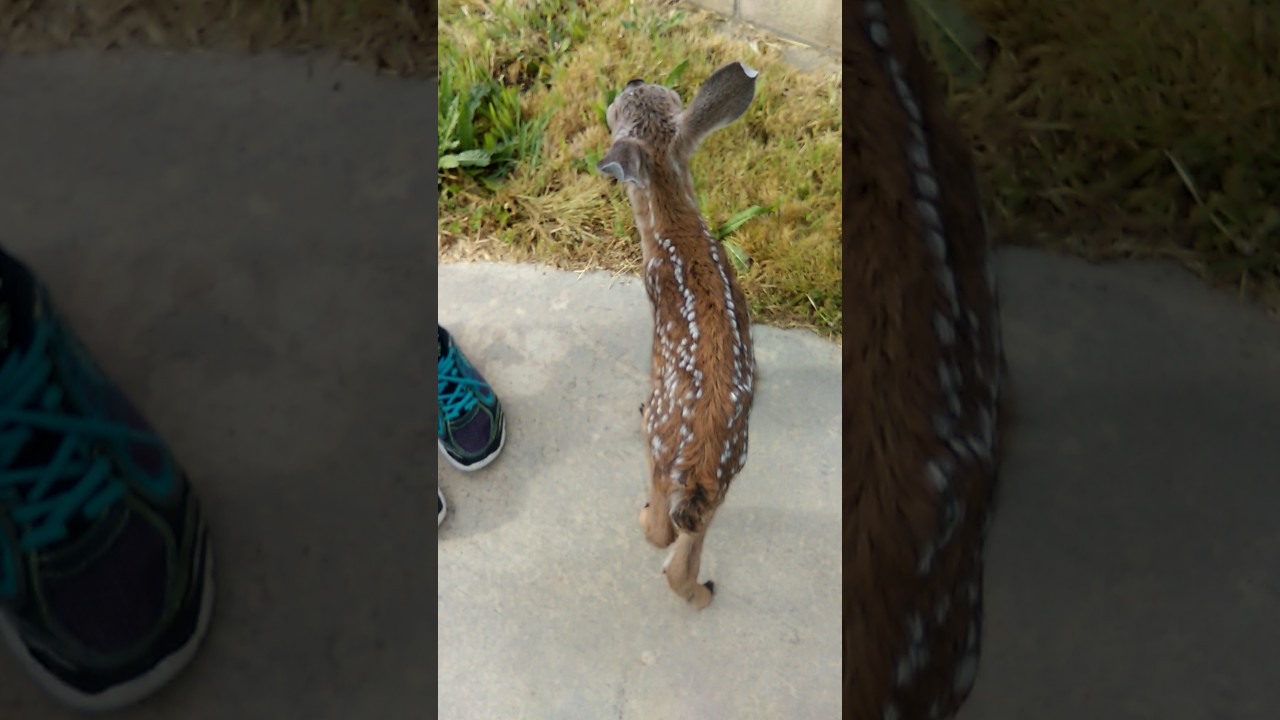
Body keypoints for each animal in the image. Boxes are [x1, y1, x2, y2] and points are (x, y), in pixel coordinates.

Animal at [596, 61, 759, 610]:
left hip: (661, 453)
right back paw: (704, 593)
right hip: (729, 475)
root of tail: (701, 466)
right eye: (668, 94)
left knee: (663, 536)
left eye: (616, 112)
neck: (677, 227)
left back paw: (644, 514)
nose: (630, 81)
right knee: (688, 547)